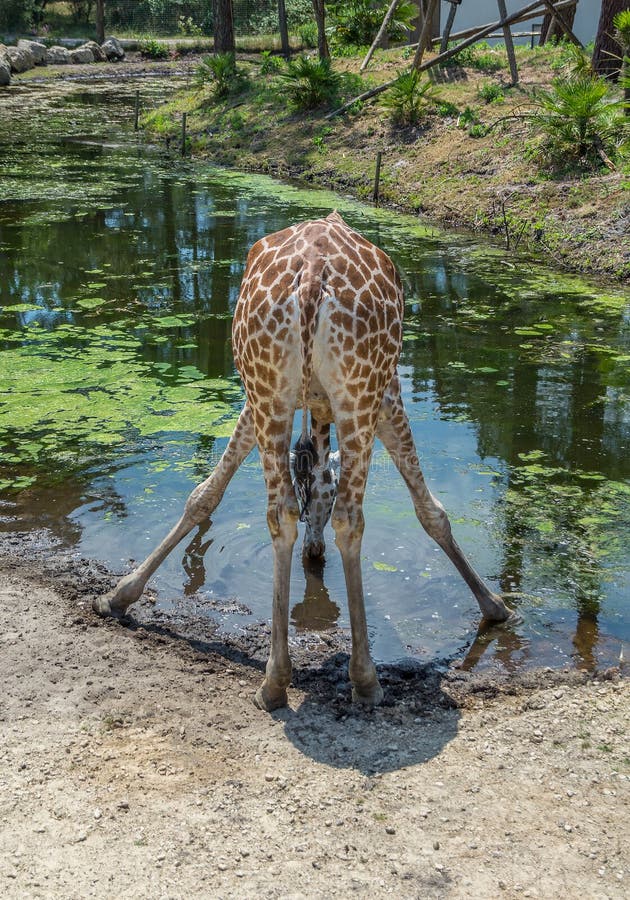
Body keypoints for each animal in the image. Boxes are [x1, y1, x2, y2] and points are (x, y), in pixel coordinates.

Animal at [94, 211, 510, 710]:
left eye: (317, 495)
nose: (315, 552)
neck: (317, 412)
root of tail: (313, 277)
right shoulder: (388, 395)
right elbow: (432, 511)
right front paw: (495, 605)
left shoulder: (259, 402)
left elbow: (206, 493)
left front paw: (119, 595)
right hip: (360, 393)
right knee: (351, 518)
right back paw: (364, 678)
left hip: (271, 388)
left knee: (282, 514)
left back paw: (275, 679)